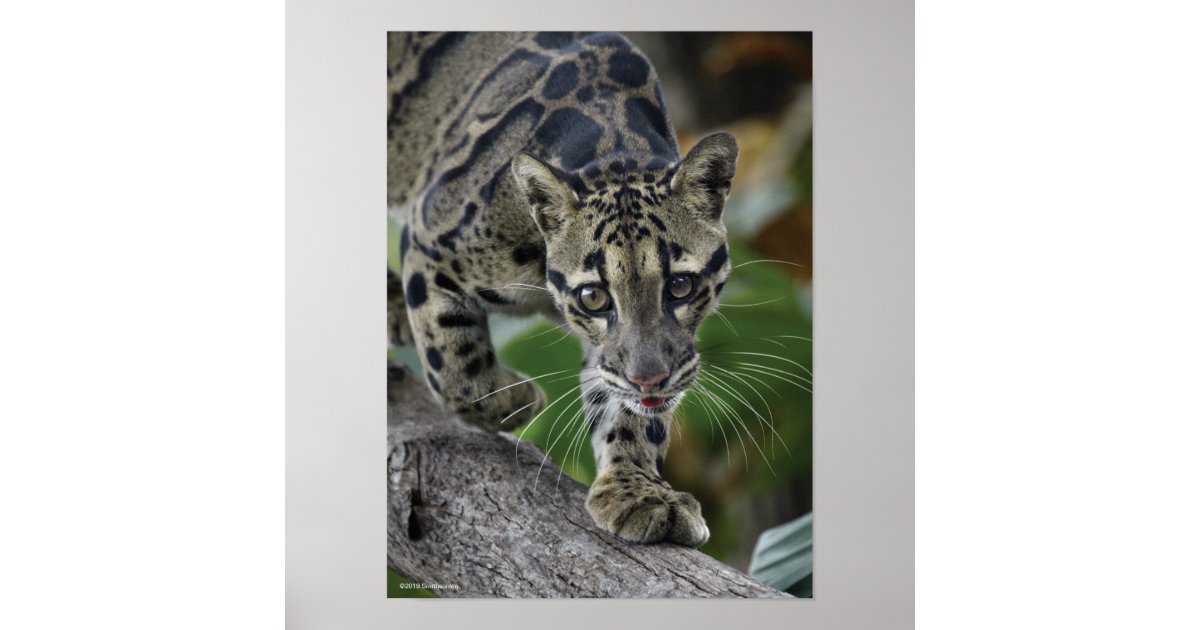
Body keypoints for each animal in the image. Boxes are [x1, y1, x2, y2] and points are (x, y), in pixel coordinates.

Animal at [388, 32, 738, 547]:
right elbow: (453, 368)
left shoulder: (617, 360)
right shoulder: (427, 238)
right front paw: (518, 401)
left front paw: (638, 491)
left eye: (680, 285)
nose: (650, 379)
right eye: (594, 296)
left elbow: (625, 409)